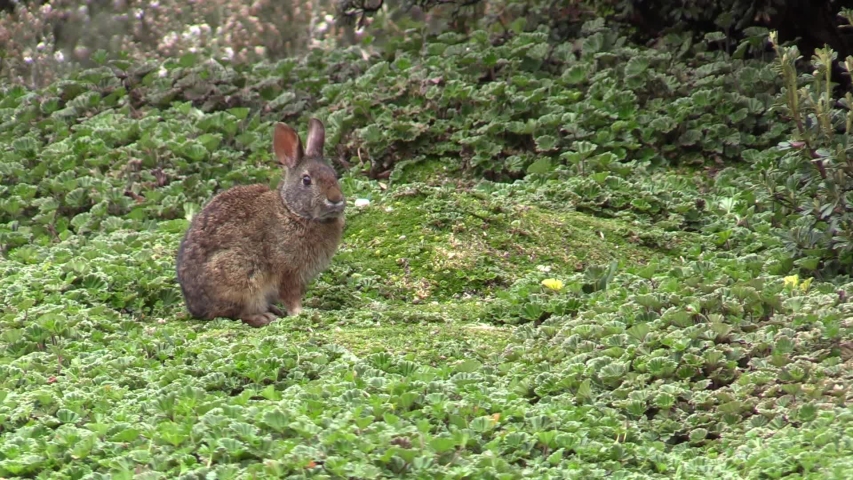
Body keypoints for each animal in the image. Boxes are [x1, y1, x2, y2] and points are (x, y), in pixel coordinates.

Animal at [175, 118, 346, 327]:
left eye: (334, 175)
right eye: (306, 180)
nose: (335, 199)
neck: (292, 211)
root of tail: (196, 308)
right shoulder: (288, 272)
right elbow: (291, 296)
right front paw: (300, 313)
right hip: (242, 278)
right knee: (236, 313)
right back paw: (264, 317)